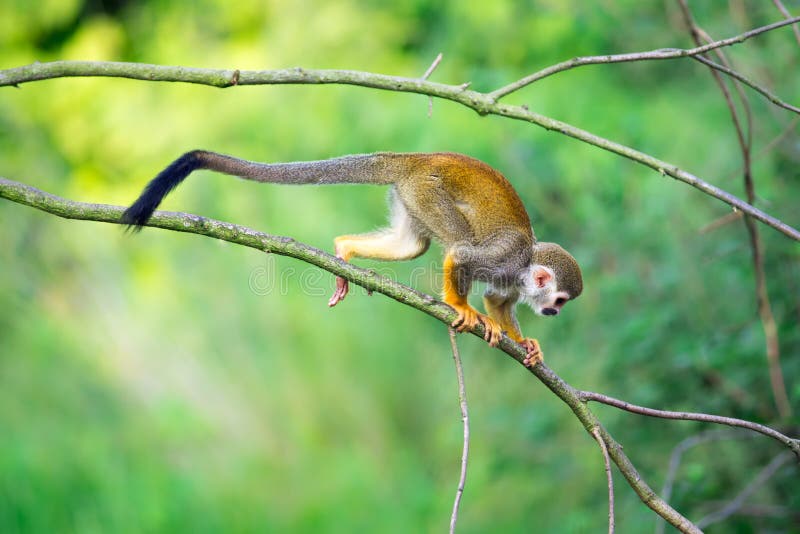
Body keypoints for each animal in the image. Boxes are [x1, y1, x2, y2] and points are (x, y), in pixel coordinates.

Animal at [122, 150, 583, 366]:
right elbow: (463, 257)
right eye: (560, 300)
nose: (556, 313)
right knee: (453, 242)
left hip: (410, 195)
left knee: (412, 245)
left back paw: (344, 249)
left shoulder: (512, 279)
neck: (525, 265)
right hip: (427, 190)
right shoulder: (506, 259)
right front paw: (462, 307)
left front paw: (524, 342)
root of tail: (416, 159)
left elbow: (498, 300)